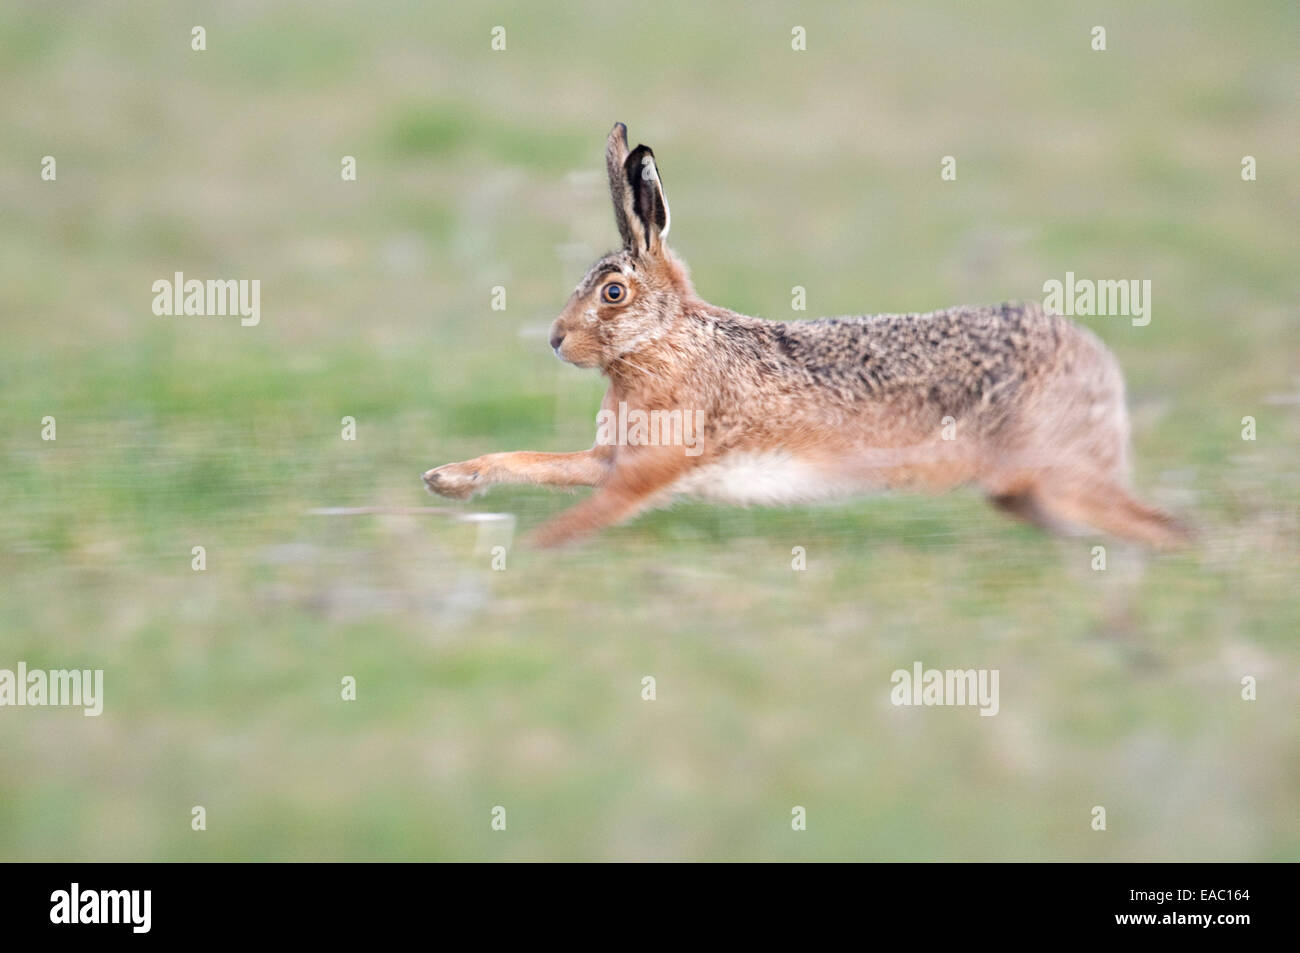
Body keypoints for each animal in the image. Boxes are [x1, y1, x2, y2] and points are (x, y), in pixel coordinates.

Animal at [424, 122, 1190, 550]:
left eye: (613, 292)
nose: (556, 340)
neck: (665, 341)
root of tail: (1098, 363)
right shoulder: (609, 456)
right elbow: (532, 460)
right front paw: (449, 480)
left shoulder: (651, 467)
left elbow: (592, 512)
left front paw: (534, 552)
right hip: (1029, 489)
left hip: (1062, 476)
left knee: (1167, 528)